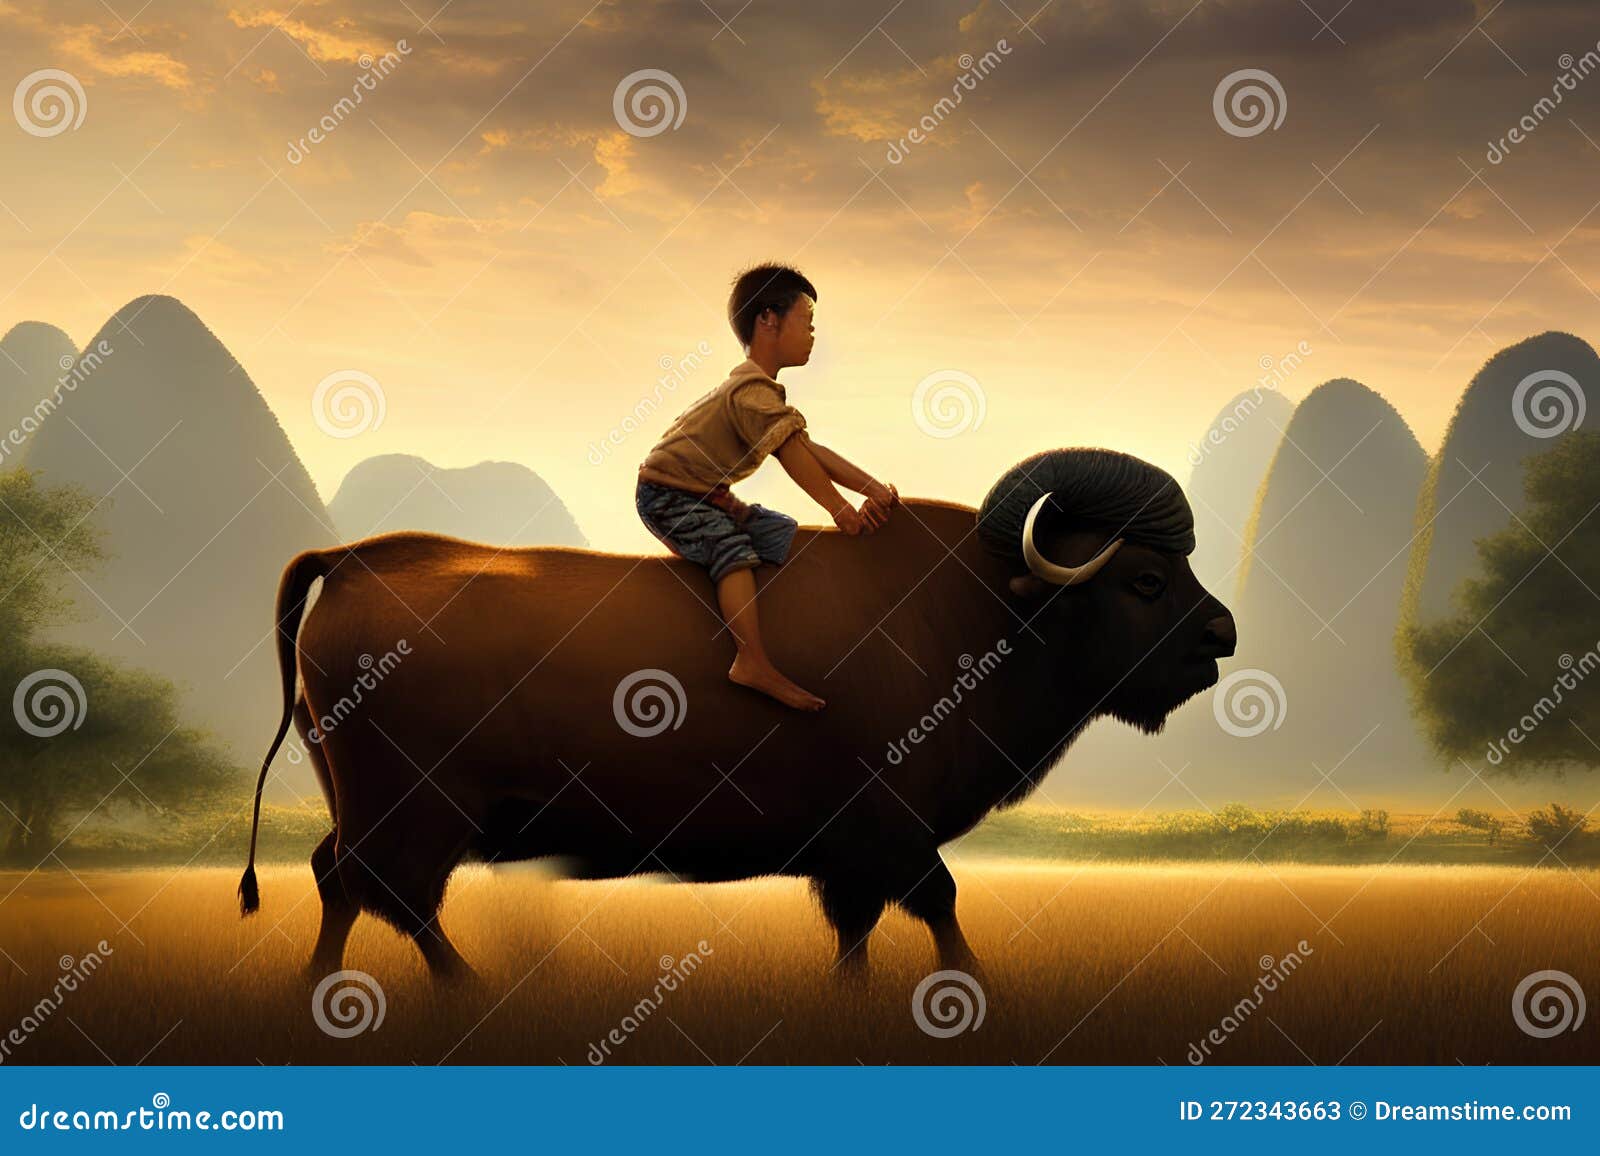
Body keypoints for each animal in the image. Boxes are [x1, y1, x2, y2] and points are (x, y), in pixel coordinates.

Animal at [239, 448, 1235, 981]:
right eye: (1144, 577)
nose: (1221, 637)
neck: (985, 605)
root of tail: (354, 561)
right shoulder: (892, 830)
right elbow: (940, 907)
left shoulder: (853, 855)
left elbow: (861, 931)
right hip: (418, 815)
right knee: (388, 891)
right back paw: (466, 993)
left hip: (365, 804)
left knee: (339, 881)